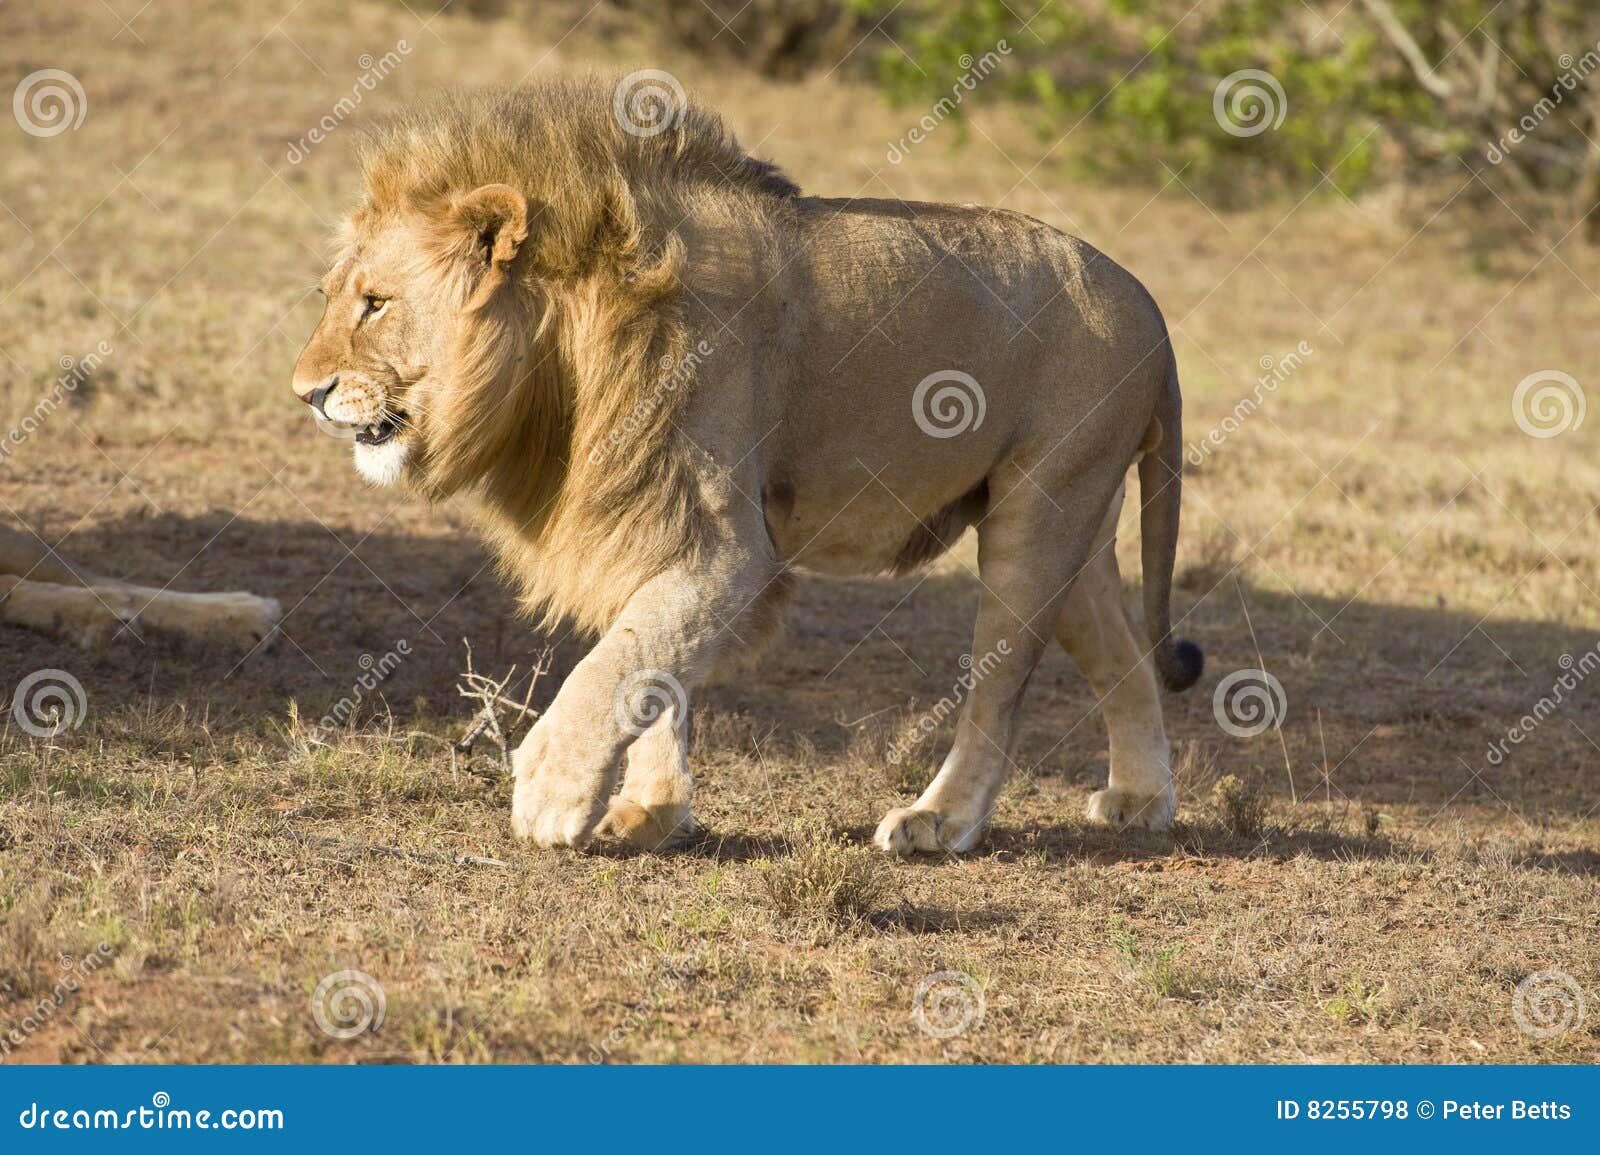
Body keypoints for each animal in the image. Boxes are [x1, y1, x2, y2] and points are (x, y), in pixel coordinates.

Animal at [291, 77, 1202, 855]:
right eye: (334, 298)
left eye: (377, 304)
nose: (307, 392)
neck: (563, 353)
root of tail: (1152, 312)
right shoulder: (647, 522)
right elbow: (653, 663)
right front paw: (652, 812)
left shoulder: (729, 547)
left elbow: (623, 655)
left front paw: (552, 788)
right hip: (1075, 528)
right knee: (1125, 658)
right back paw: (1141, 799)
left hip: (1038, 513)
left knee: (999, 689)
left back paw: (937, 822)